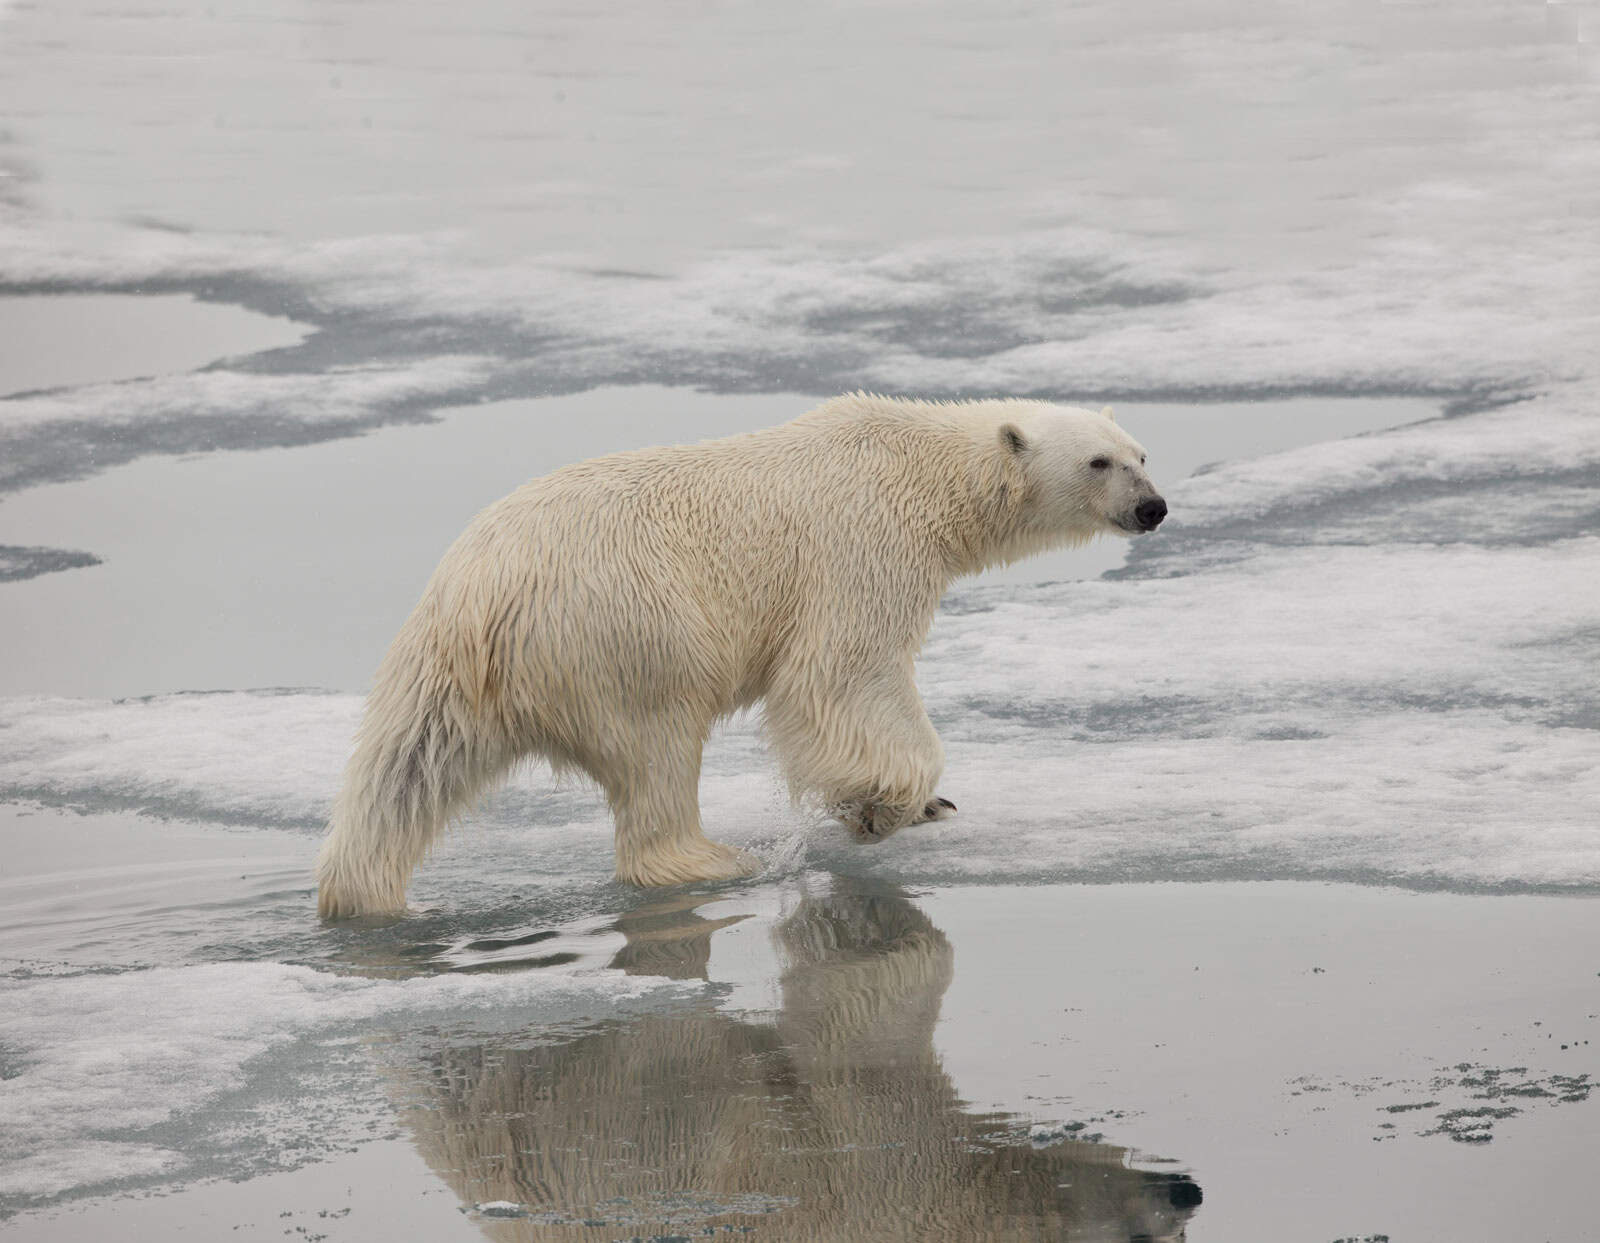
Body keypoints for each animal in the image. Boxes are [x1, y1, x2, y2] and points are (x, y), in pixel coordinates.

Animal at [315, 394, 1165, 917]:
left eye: (1142, 453)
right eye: (1099, 462)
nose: (1152, 507)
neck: (920, 468)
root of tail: (476, 600)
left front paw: (926, 805)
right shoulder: (861, 546)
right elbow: (841, 674)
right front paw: (888, 803)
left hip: (439, 669)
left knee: (403, 771)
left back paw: (358, 893)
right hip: (627, 628)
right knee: (657, 747)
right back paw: (714, 860)